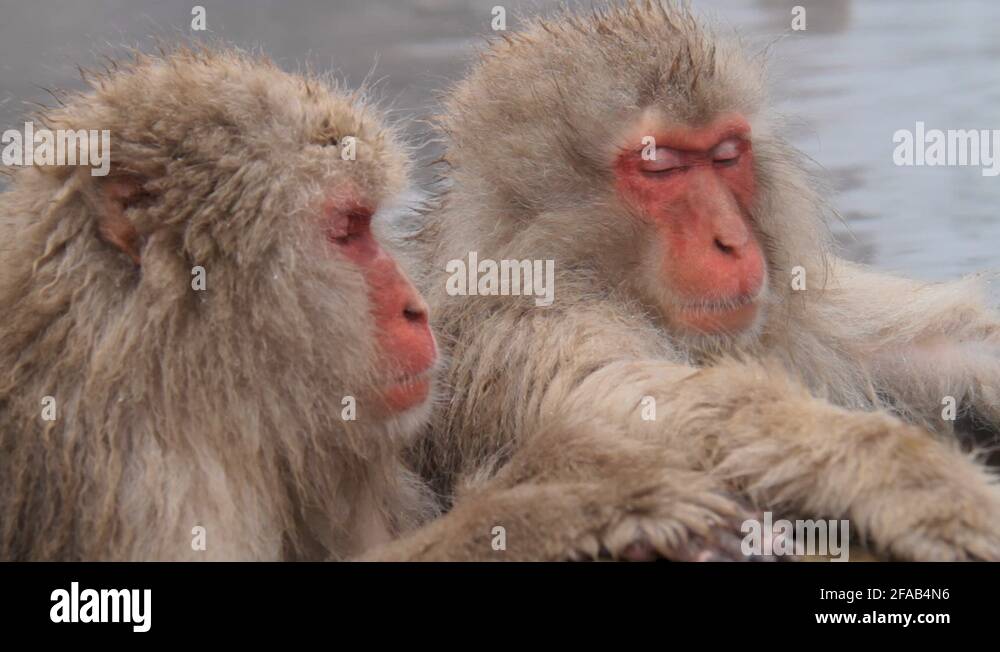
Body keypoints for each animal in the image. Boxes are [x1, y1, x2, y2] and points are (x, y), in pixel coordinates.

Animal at [406, 0, 1000, 561]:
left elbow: (944, 349)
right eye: (661, 167)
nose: (732, 239)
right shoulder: (523, 334)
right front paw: (917, 480)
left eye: (726, 156)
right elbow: (626, 402)